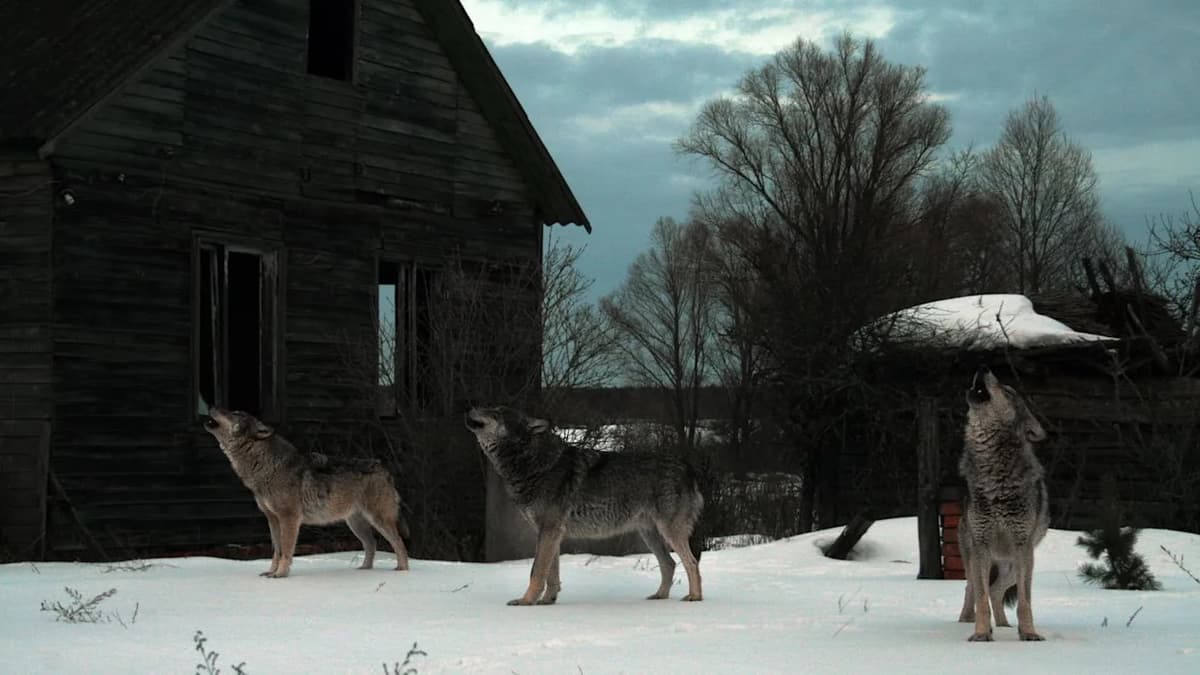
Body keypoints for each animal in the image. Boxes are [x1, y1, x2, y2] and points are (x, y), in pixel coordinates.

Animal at [203, 408, 410, 578]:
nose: (212, 406)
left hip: (378, 520)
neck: (266, 466)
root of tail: (384, 468)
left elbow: (286, 550)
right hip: (355, 524)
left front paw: (280, 574)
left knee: (399, 543)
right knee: (371, 544)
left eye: (235, 413)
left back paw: (402, 571)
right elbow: (276, 551)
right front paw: (271, 572)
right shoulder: (272, 519)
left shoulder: (289, 518)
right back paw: (364, 570)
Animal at [464, 405, 704, 605]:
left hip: (669, 532)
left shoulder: (549, 530)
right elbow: (551, 573)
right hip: (649, 535)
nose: (470, 407)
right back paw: (659, 596)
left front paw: (526, 601)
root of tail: (688, 467)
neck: (535, 463)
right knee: (670, 564)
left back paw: (694, 597)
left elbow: (537, 571)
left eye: (497, 412)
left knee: (692, 562)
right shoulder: (552, 534)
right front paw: (547, 600)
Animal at [956, 366, 1050, 641]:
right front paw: (980, 634)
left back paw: (1005, 626)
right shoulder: (982, 545)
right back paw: (967, 620)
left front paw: (1028, 633)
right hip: (975, 557)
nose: (983, 367)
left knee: (997, 590)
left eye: (1008, 391)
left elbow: (1024, 602)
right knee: (973, 588)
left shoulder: (1022, 547)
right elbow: (981, 598)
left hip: (1014, 565)